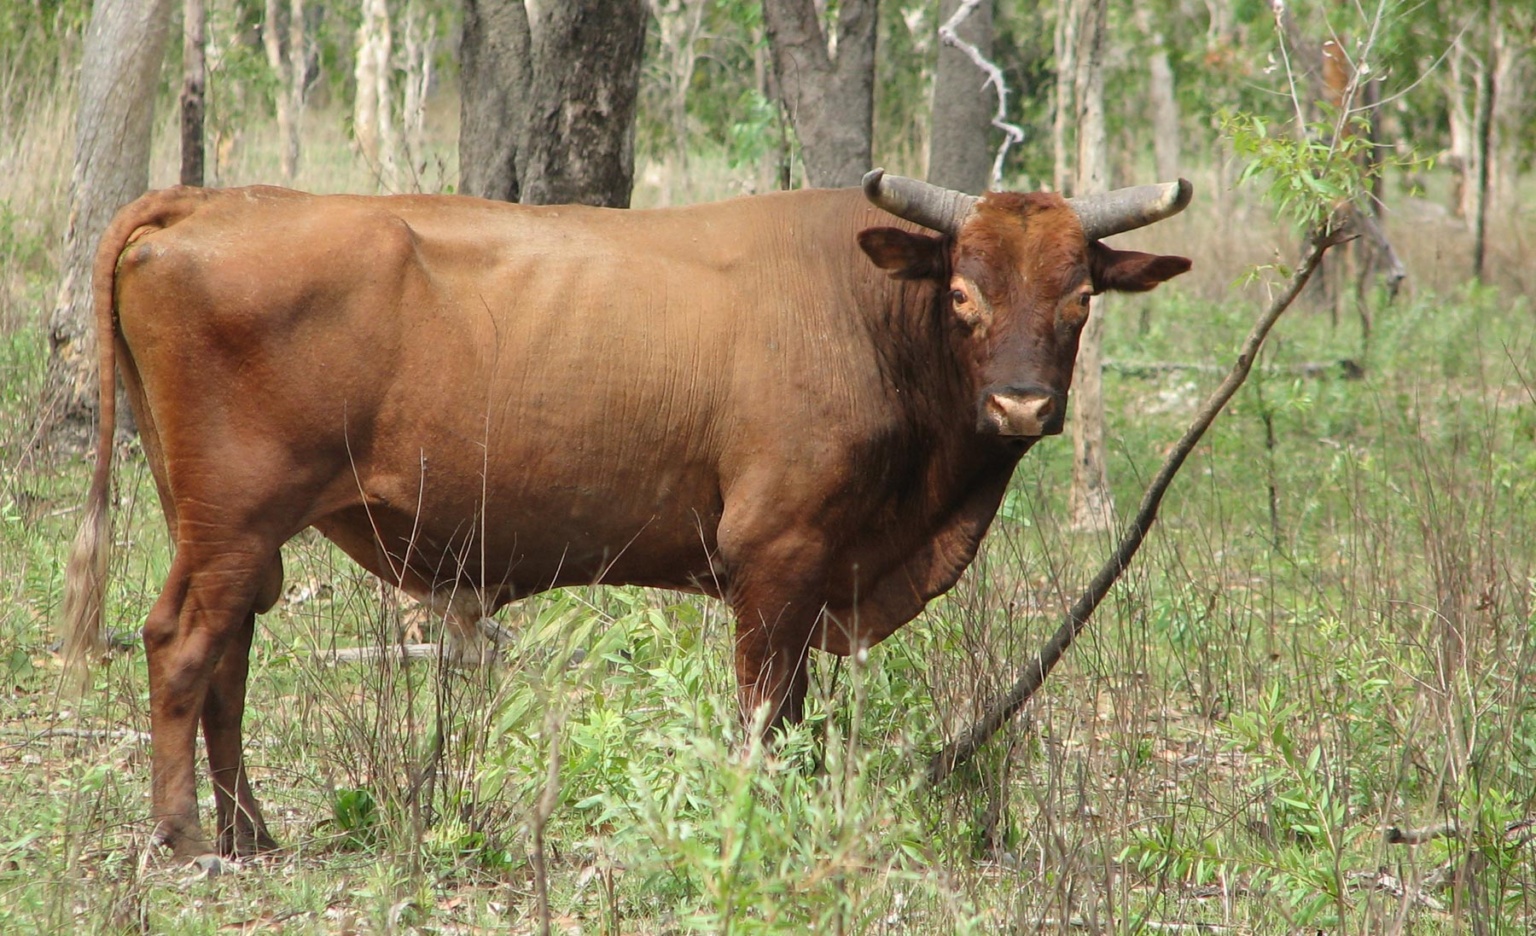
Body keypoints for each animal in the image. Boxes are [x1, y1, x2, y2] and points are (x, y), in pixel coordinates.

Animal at [61, 170, 1191, 859]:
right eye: (963, 294)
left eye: (1080, 298)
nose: (1022, 406)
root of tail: (211, 199)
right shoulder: (779, 556)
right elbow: (764, 715)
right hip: (237, 516)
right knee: (184, 644)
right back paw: (183, 836)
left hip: (222, 526)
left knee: (230, 656)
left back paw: (249, 831)